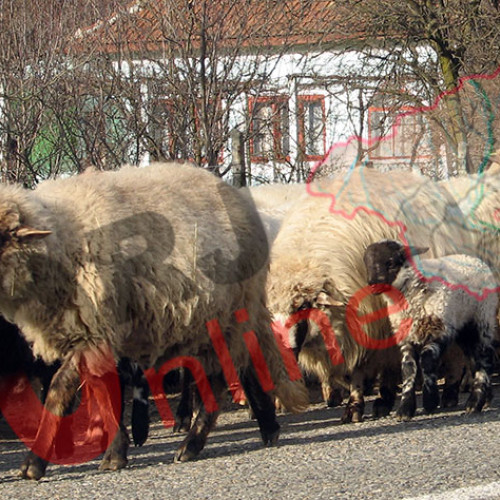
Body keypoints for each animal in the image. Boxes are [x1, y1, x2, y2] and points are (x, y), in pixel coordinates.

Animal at [0, 163, 306, 480]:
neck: (62, 237)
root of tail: (240, 200)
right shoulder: (88, 333)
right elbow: (99, 391)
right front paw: (115, 448)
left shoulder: (95, 332)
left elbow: (63, 389)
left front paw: (36, 463)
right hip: (215, 321)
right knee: (238, 367)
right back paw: (261, 427)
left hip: (226, 315)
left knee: (224, 376)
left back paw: (197, 443)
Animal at [364, 240, 496, 420]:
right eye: (367, 263)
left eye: (390, 262)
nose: (372, 285)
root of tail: (477, 260)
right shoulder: (406, 337)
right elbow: (408, 369)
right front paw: (405, 409)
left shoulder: (438, 330)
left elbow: (426, 362)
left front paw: (430, 401)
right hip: (464, 330)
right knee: (474, 361)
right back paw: (484, 399)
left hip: (482, 320)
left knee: (484, 360)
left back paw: (474, 403)